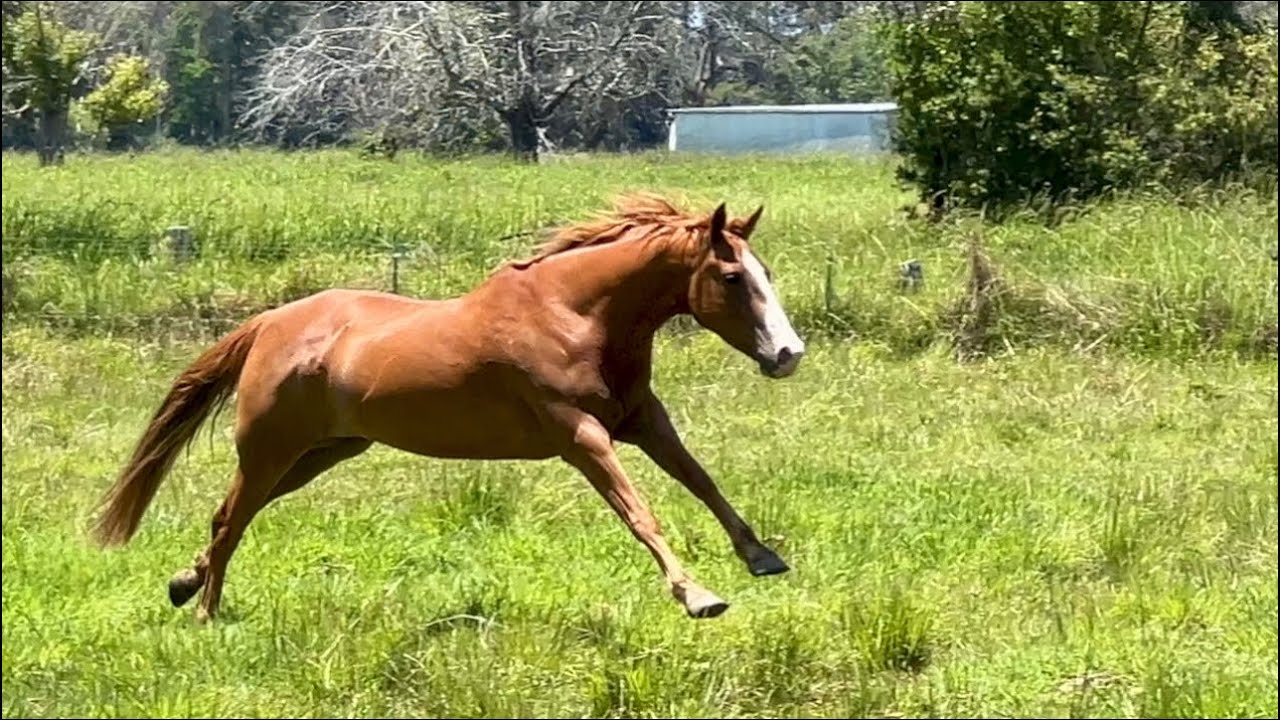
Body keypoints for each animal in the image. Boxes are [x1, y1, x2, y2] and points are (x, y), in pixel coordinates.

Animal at [89, 193, 807, 622]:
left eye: (766, 273)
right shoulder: (581, 437)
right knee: (233, 519)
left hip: (317, 455)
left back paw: (184, 586)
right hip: (271, 450)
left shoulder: (641, 420)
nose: (788, 354)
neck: (575, 315)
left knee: (227, 515)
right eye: (733, 277)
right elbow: (640, 512)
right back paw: (207, 611)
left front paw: (761, 557)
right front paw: (698, 595)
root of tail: (271, 323)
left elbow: (701, 481)